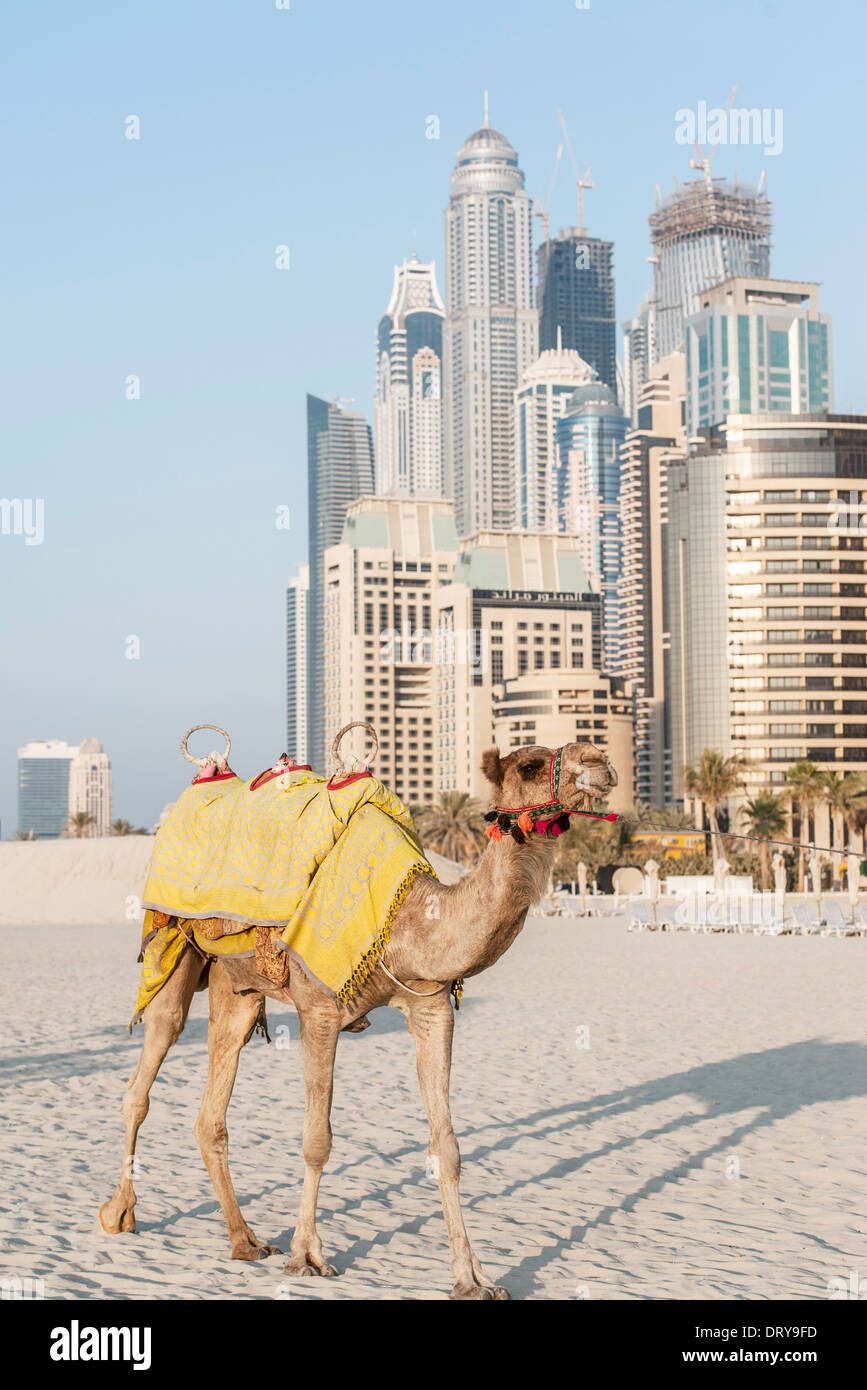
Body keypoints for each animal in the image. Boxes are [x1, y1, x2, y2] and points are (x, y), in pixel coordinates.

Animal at [99, 739, 618, 1299]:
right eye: (530, 764)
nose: (601, 762)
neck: (410, 920)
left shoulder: (431, 1006)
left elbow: (448, 1148)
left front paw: (473, 1278)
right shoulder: (319, 1009)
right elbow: (316, 1140)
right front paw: (307, 1256)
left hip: (236, 984)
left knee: (212, 1105)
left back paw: (245, 1241)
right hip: (171, 943)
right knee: (151, 1061)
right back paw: (119, 1212)